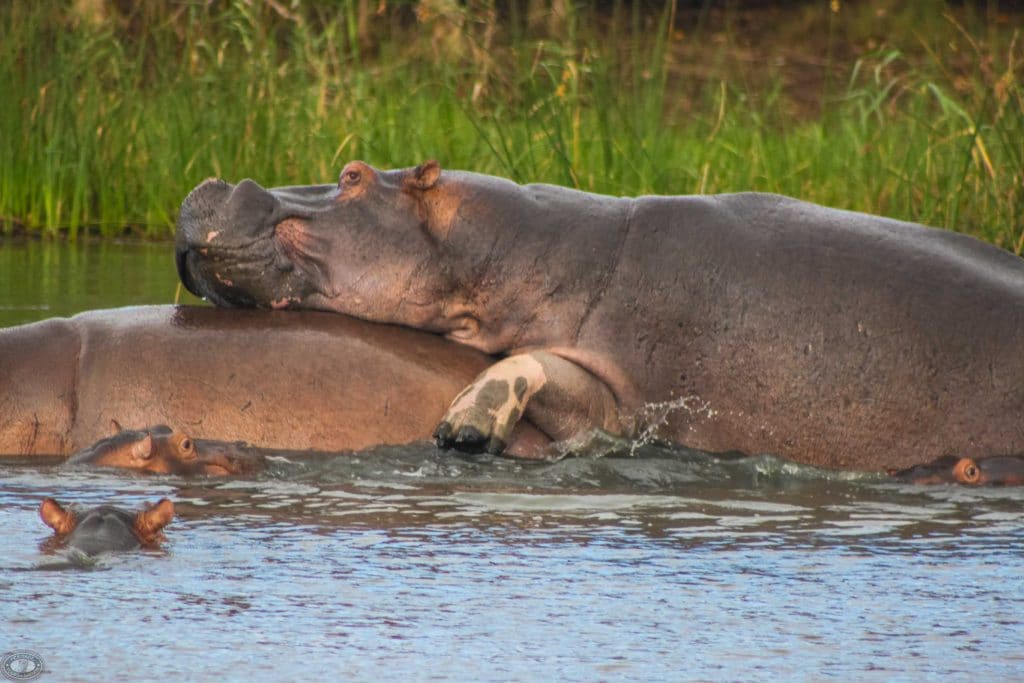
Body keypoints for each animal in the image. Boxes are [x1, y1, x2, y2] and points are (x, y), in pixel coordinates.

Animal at [175, 161, 1024, 472]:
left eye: (352, 176)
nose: (216, 181)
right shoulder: (609, 390)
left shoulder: (640, 389)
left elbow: (522, 364)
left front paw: (464, 427)